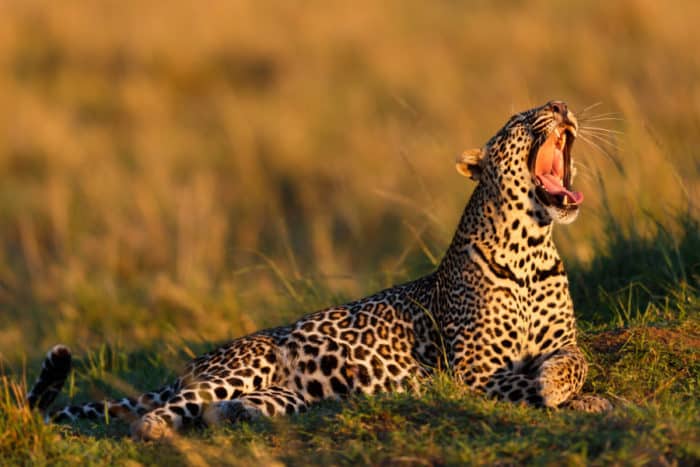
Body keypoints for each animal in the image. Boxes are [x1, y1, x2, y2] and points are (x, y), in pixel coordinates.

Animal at [27, 100, 612, 441]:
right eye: (520, 120)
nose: (560, 103)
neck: (530, 247)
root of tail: (192, 364)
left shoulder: (562, 339)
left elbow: (577, 359)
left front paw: (577, 389)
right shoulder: (471, 369)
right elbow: (513, 382)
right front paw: (567, 396)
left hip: (285, 395)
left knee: (223, 410)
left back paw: (237, 417)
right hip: (237, 369)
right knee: (159, 413)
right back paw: (160, 429)